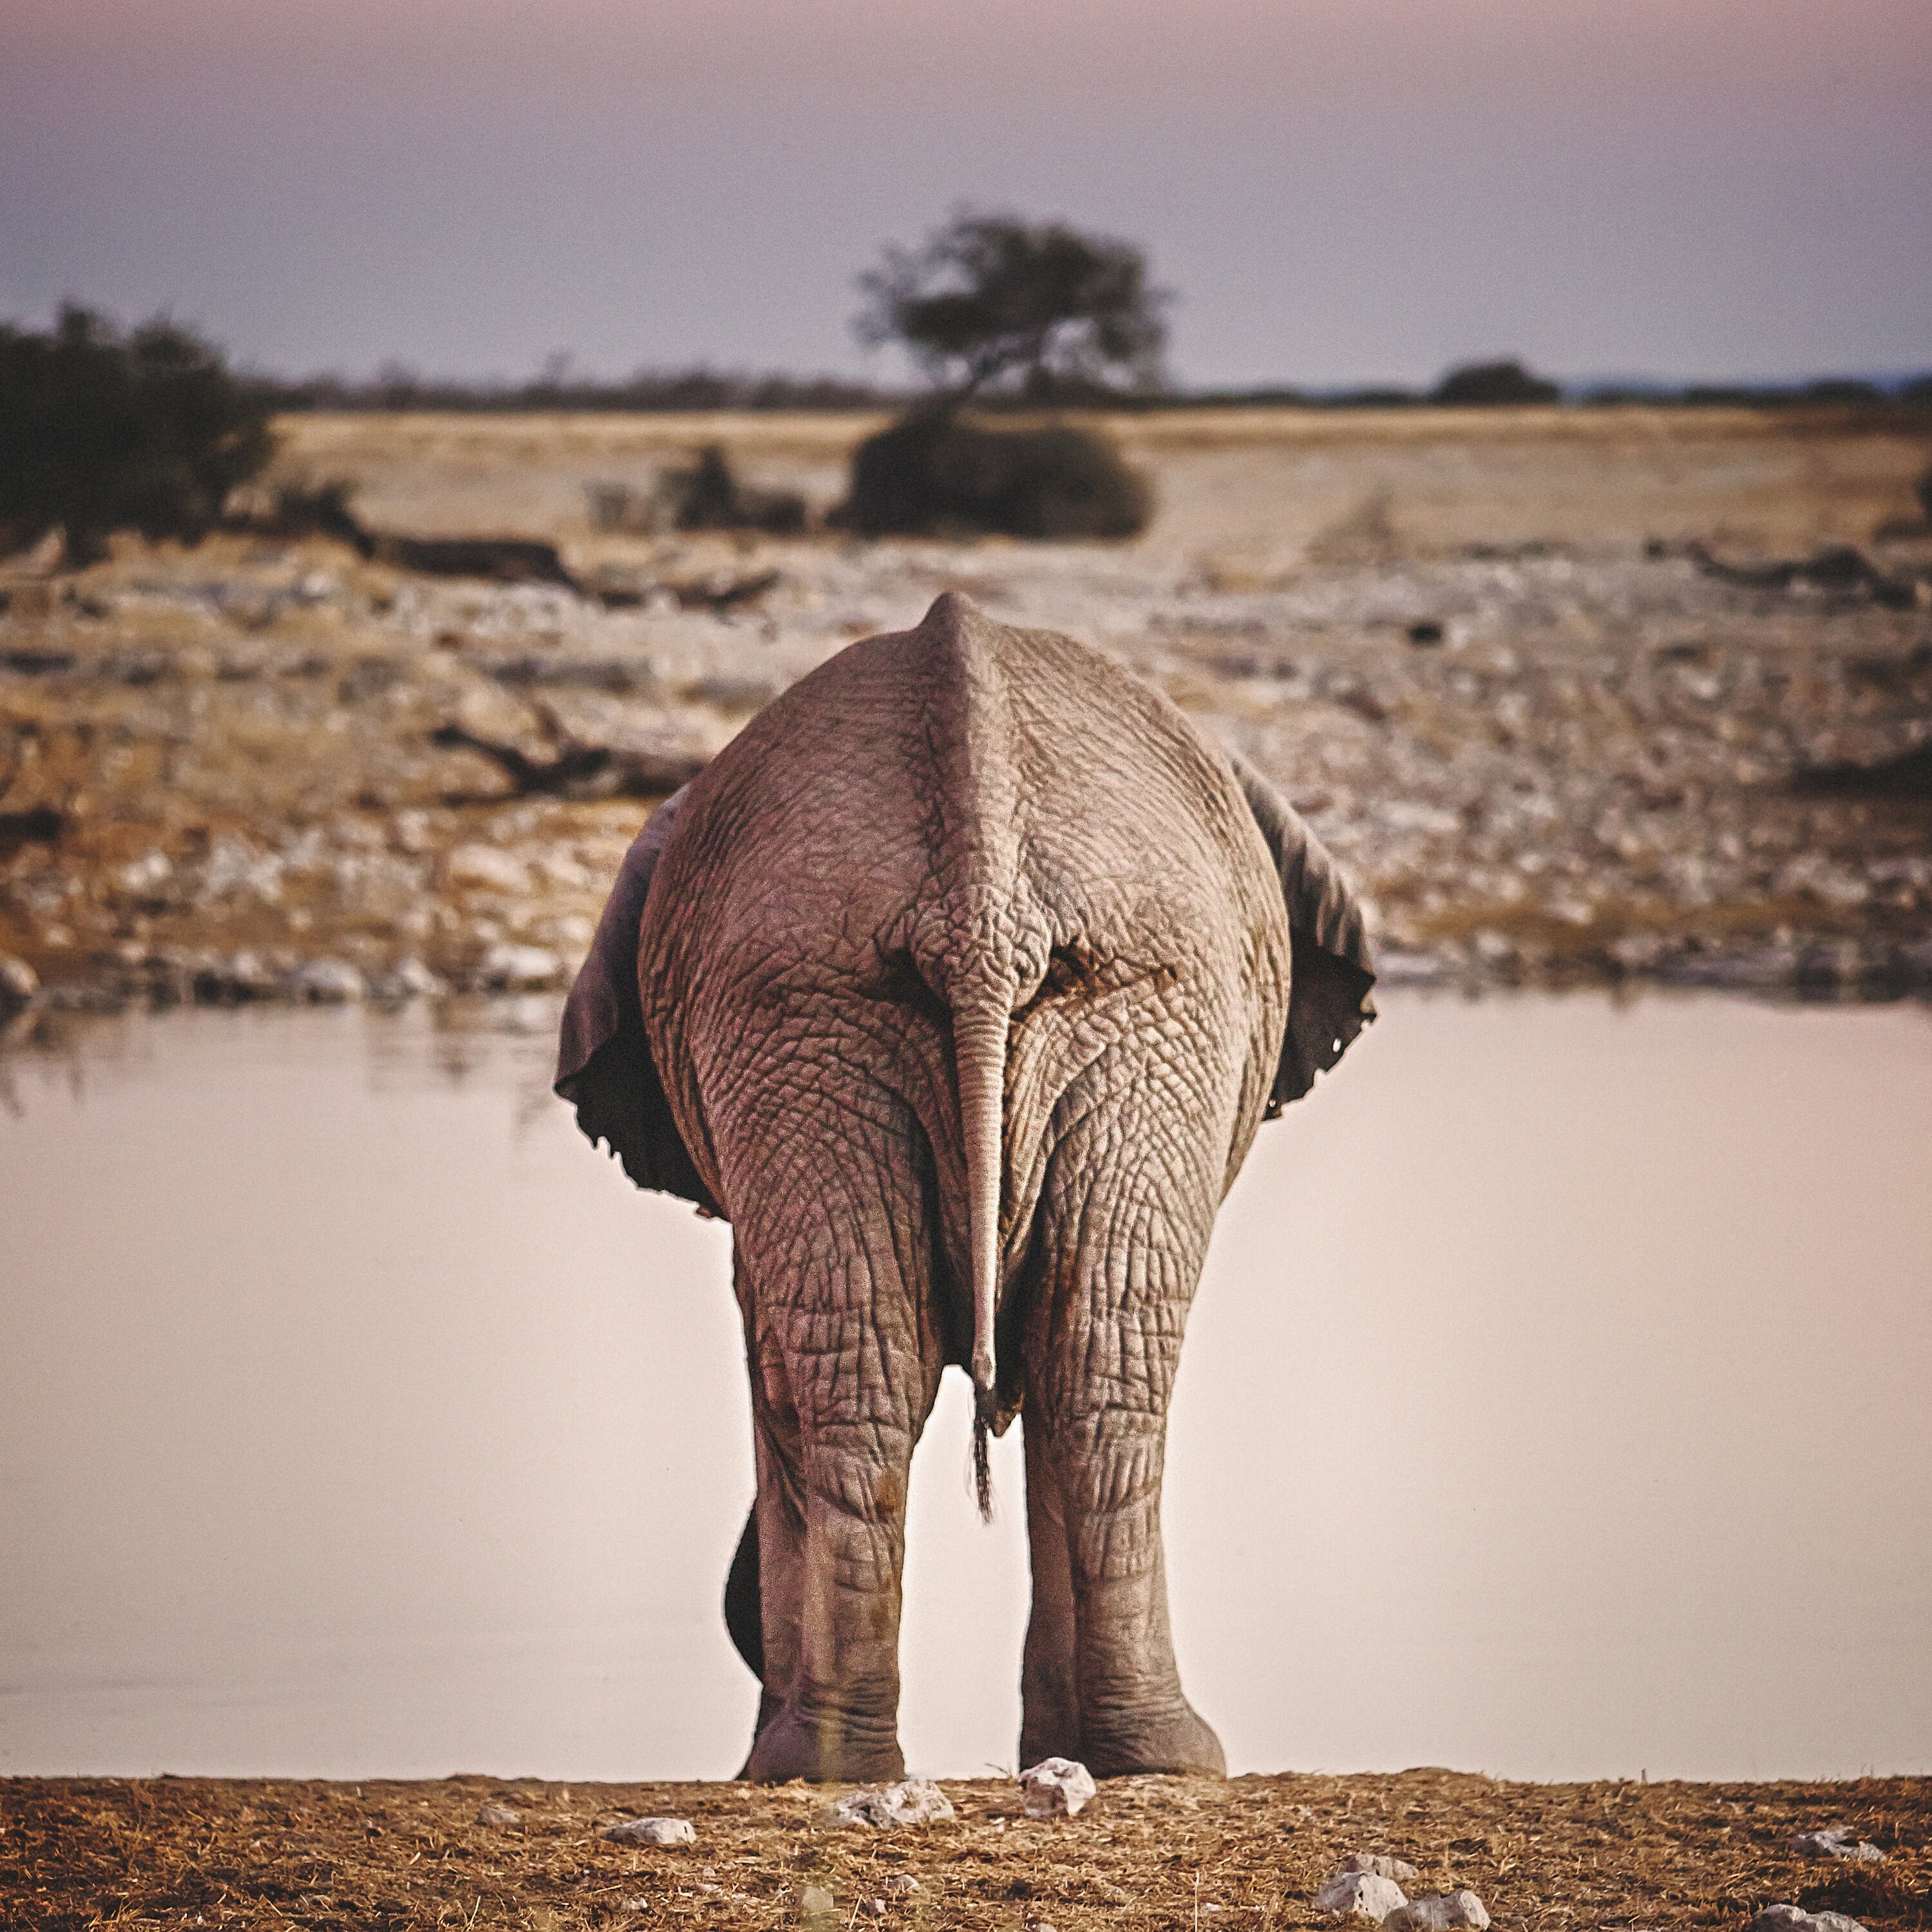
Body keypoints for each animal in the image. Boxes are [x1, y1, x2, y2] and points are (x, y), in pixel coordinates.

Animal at [555, 592, 1374, 1783]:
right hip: (842, 1012)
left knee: (1049, 1360)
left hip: (1095, 1001)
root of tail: (977, 901)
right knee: (1015, 1363)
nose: (736, 1610)